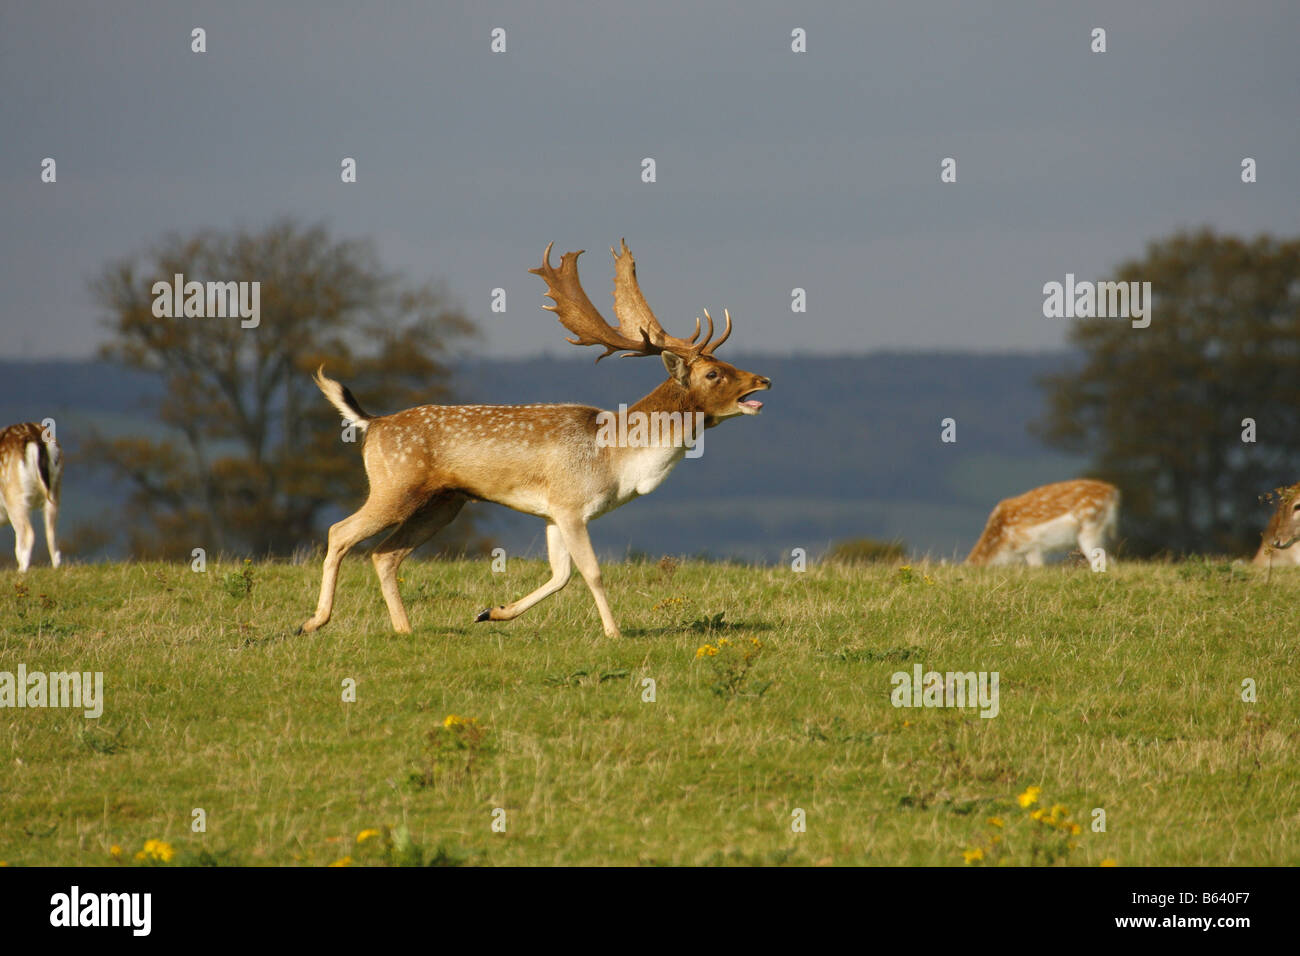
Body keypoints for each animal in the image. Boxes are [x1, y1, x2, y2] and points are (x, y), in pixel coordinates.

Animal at [0, 422, 62, 572]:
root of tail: (35, 437)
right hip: (55, 490)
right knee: (51, 533)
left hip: (14, 495)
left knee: (28, 534)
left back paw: (21, 571)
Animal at [298, 240, 771, 638]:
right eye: (713, 373)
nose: (763, 380)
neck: (618, 459)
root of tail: (372, 423)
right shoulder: (570, 504)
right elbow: (591, 572)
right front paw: (614, 633)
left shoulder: (552, 513)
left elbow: (560, 576)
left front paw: (491, 612)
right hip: (395, 485)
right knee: (340, 532)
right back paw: (313, 621)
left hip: (443, 503)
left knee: (385, 553)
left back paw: (404, 629)